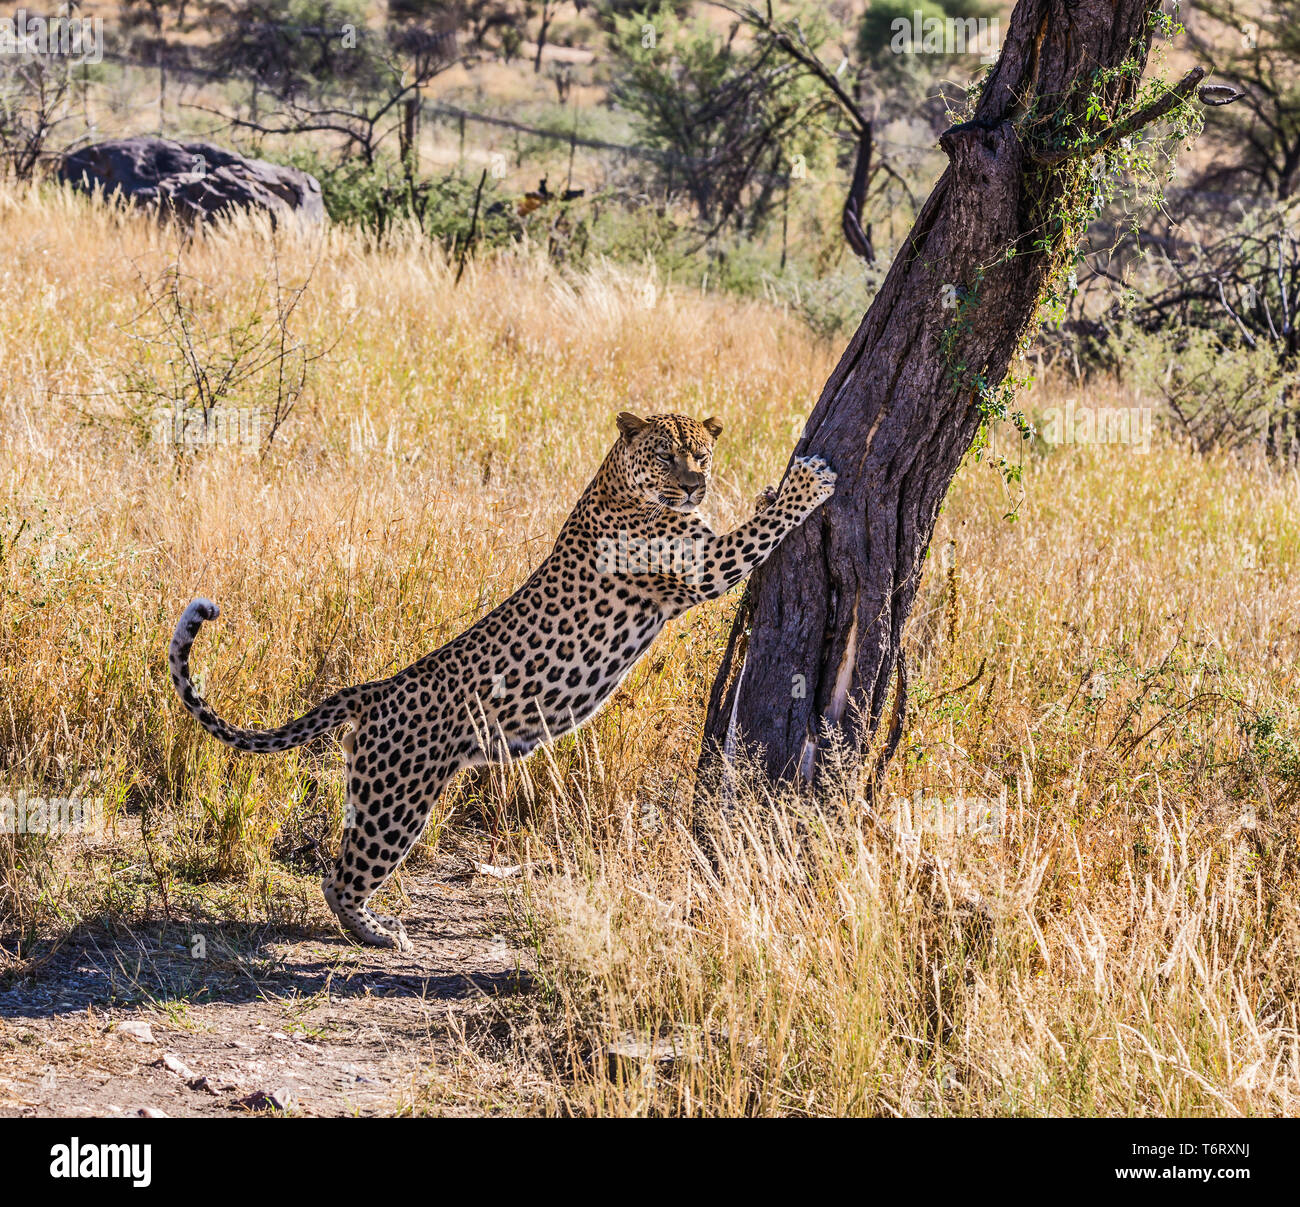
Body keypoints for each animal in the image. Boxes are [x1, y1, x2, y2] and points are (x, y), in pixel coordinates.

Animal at [169, 412, 836, 951]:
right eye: (667, 455)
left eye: (702, 453)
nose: (695, 484)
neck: (619, 481)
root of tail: (376, 688)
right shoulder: (702, 568)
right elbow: (759, 530)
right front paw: (807, 482)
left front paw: (770, 486)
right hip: (398, 800)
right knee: (342, 876)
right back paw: (378, 934)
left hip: (373, 789)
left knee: (341, 860)